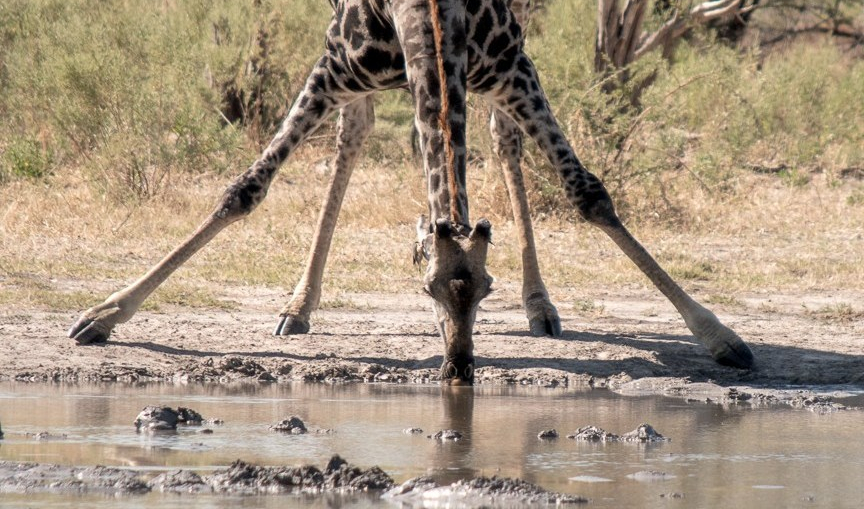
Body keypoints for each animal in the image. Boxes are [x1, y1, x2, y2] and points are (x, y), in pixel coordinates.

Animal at [68, 0, 754, 385]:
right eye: (427, 289)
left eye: (486, 288)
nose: (460, 369)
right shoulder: (332, 66)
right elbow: (245, 190)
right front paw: (104, 315)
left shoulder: (514, 65)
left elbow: (589, 194)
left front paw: (720, 335)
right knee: (353, 135)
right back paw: (298, 307)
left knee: (504, 140)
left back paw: (541, 307)